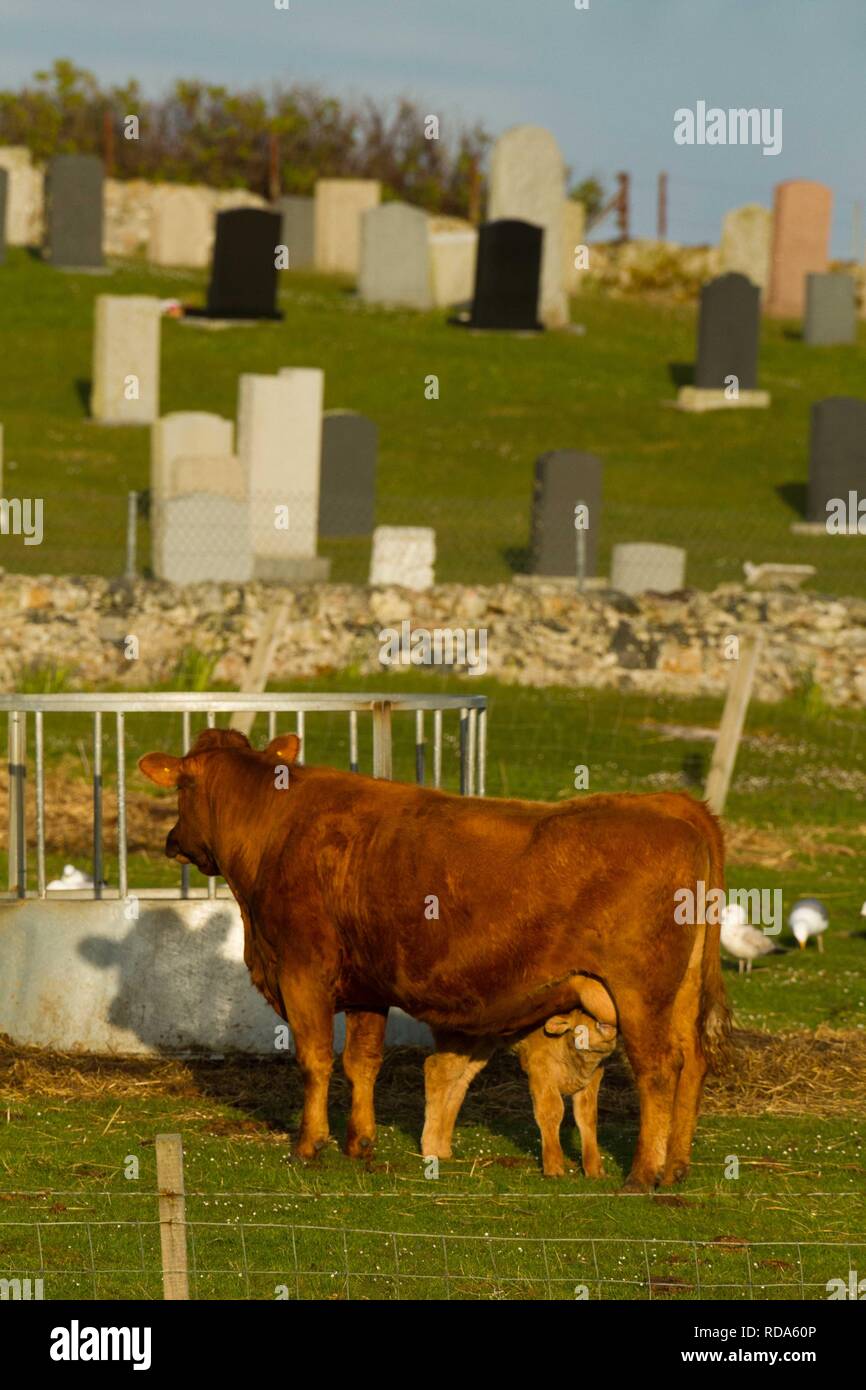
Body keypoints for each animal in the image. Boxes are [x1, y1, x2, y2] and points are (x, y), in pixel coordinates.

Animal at [422, 976, 618, 1177]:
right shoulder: (540, 1069)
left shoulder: (593, 1078)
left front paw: (595, 1170)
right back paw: (430, 1149)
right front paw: (554, 1166)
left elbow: (587, 1117)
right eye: (584, 1014)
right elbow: (551, 1110)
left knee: (458, 1084)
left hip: (480, 1047)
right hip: (457, 1041)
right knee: (437, 1071)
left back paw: (444, 1150)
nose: (607, 1026)